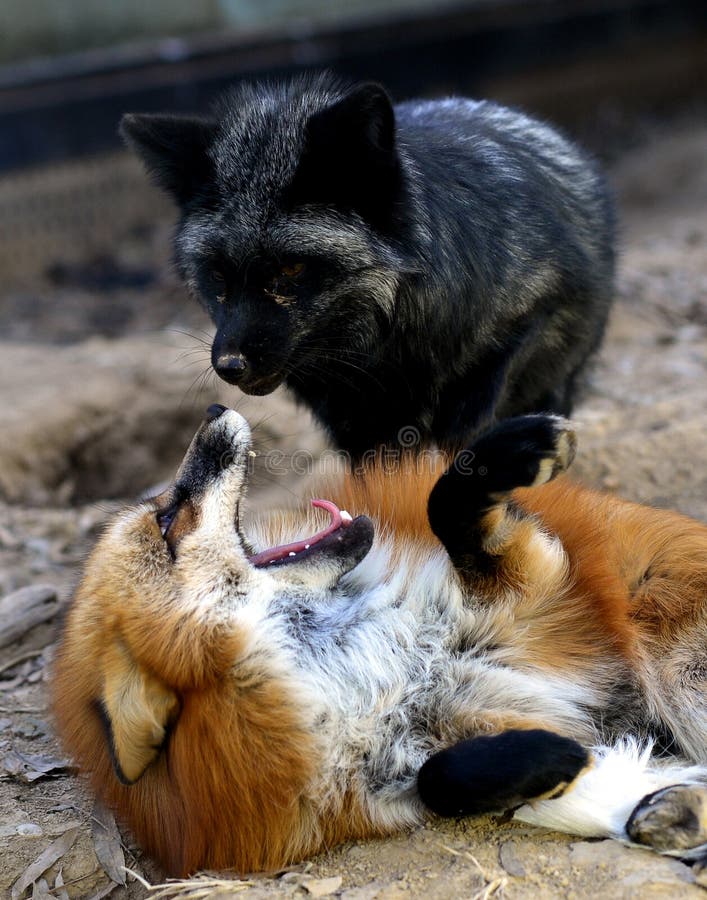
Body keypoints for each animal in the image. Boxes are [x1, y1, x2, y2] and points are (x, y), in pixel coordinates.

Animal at [53, 406, 706, 877]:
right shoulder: (400, 768)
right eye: (167, 521)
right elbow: (443, 780)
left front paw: (508, 453)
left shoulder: (533, 595)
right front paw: (559, 764)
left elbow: (447, 507)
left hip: (681, 667)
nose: (215, 407)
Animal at [120, 73, 615, 457]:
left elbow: (477, 408)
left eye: (291, 270)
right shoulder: (360, 427)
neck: (393, 354)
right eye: (218, 275)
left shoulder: (544, 306)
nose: (229, 365)